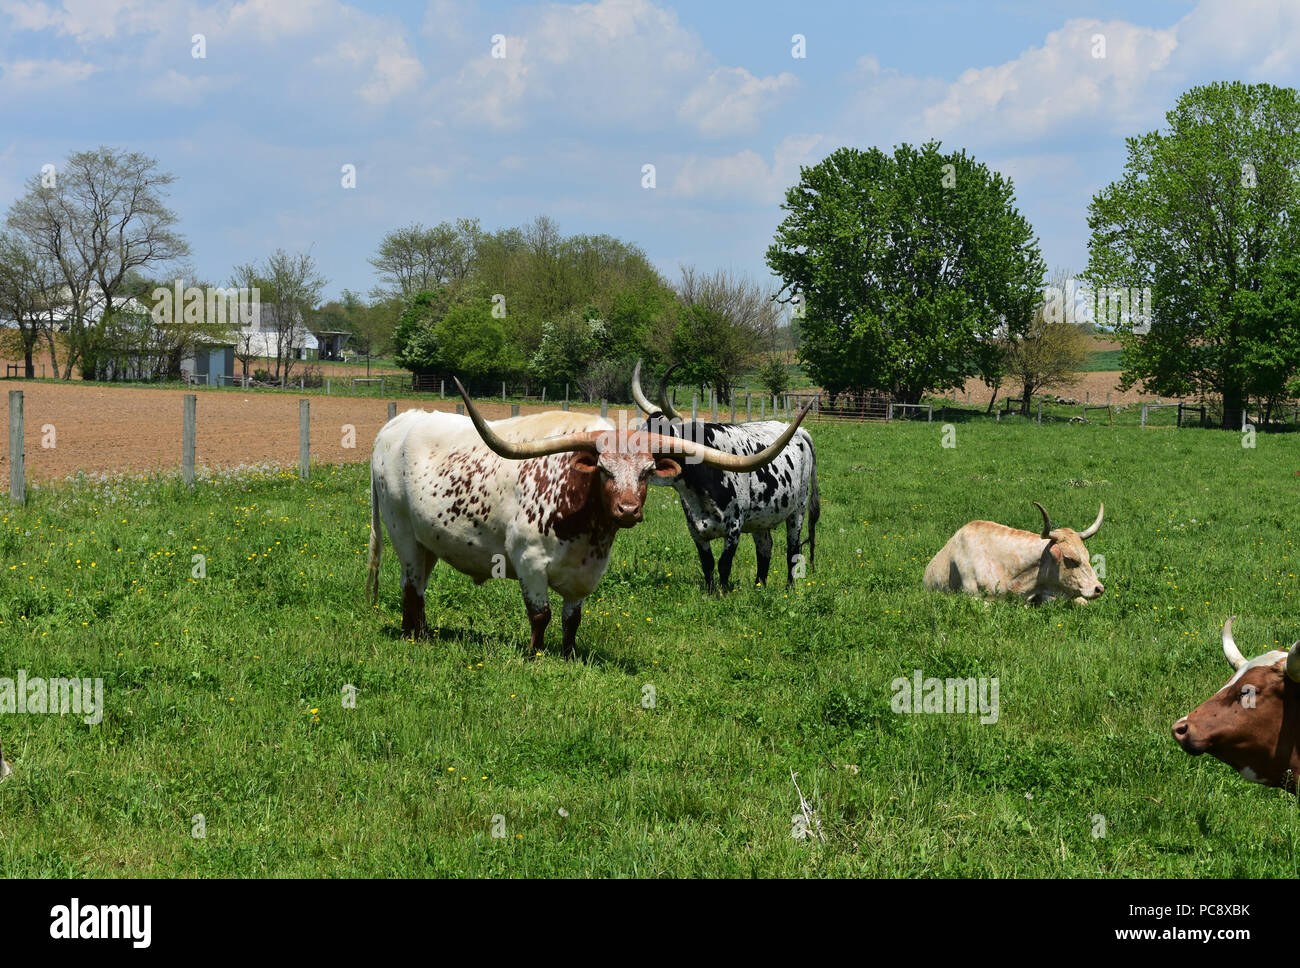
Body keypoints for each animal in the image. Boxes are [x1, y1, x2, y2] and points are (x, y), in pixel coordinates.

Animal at [368, 377, 813, 654]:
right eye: (604, 469)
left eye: (647, 471)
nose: (628, 509)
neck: (583, 520)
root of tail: (397, 423)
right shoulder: (528, 562)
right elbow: (541, 615)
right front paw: (535, 656)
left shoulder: (586, 572)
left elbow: (572, 619)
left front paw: (567, 655)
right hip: (402, 535)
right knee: (411, 588)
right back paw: (414, 638)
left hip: (427, 540)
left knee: (419, 588)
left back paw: (422, 633)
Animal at [631, 360, 819, 592]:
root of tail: (799, 431)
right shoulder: (695, 529)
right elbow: (708, 563)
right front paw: (711, 593)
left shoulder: (734, 527)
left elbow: (723, 564)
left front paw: (723, 594)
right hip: (761, 518)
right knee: (765, 548)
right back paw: (759, 587)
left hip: (798, 509)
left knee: (792, 550)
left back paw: (788, 588)